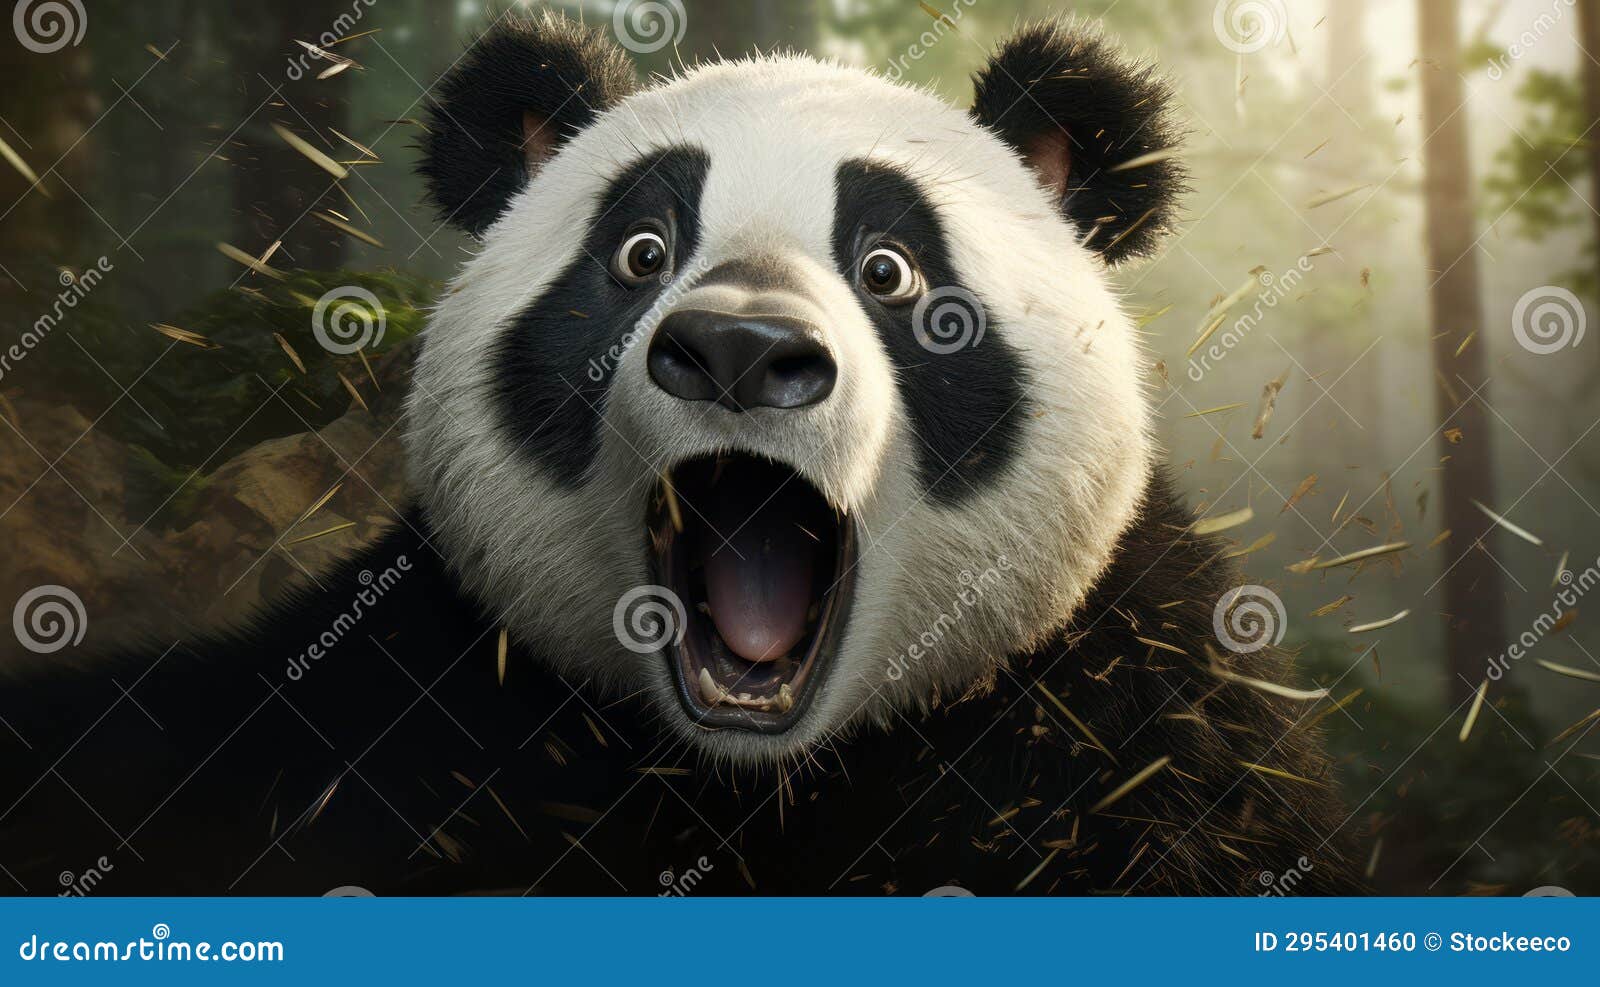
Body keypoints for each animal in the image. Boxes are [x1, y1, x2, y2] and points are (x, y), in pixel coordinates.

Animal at [0, 14, 1358, 896]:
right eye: (642, 250)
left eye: (890, 269)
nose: (741, 351)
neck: (747, 779)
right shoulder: (396, 713)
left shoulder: (1132, 731)